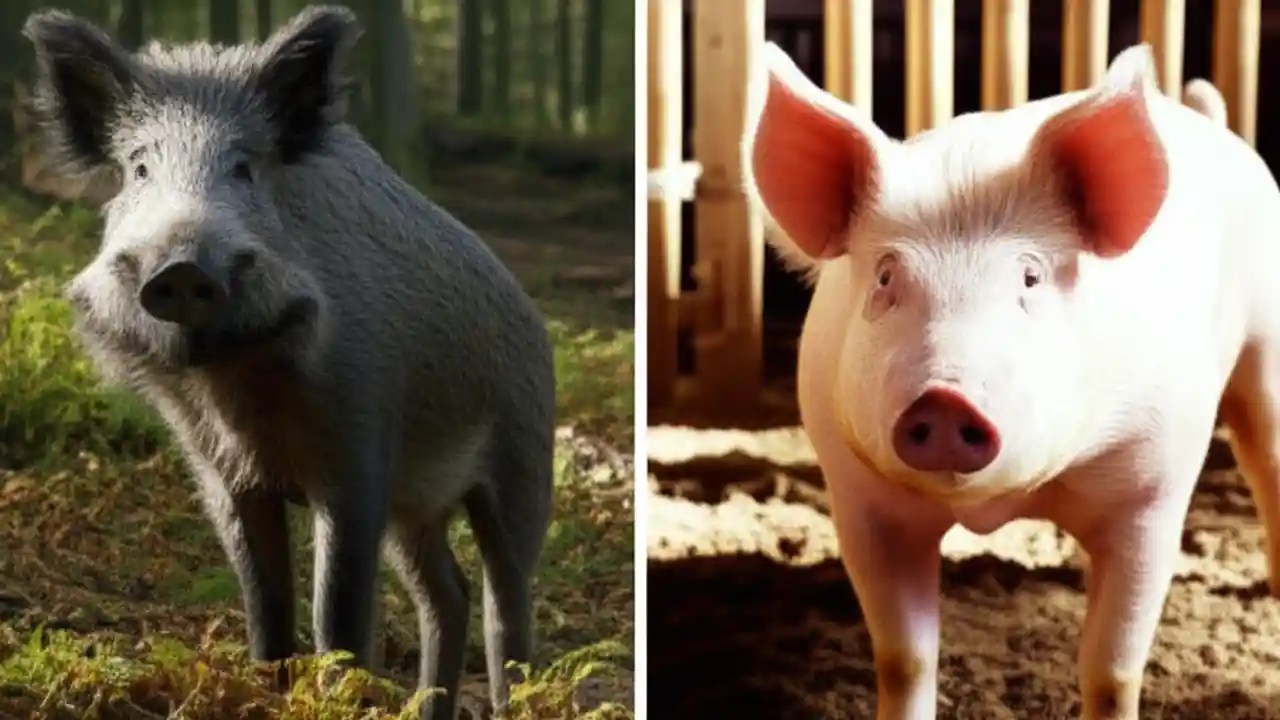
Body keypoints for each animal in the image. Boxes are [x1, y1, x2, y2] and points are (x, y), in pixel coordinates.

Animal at [23, 7, 554, 720]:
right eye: (138, 169)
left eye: (245, 168)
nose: (182, 265)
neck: (235, 380)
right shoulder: (218, 469)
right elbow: (265, 606)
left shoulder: (361, 441)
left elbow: (337, 611)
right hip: (417, 505)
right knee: (448, 590)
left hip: (523, 453)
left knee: (508, 592)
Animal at [744, 42, 1280, 720]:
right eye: (887, 278)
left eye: (1029, 277)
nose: (946, 399)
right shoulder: (861, 497)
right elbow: (904, 657)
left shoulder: (1151, 490)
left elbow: (1112, 669)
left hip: (1267, 341)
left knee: (1265, 453)